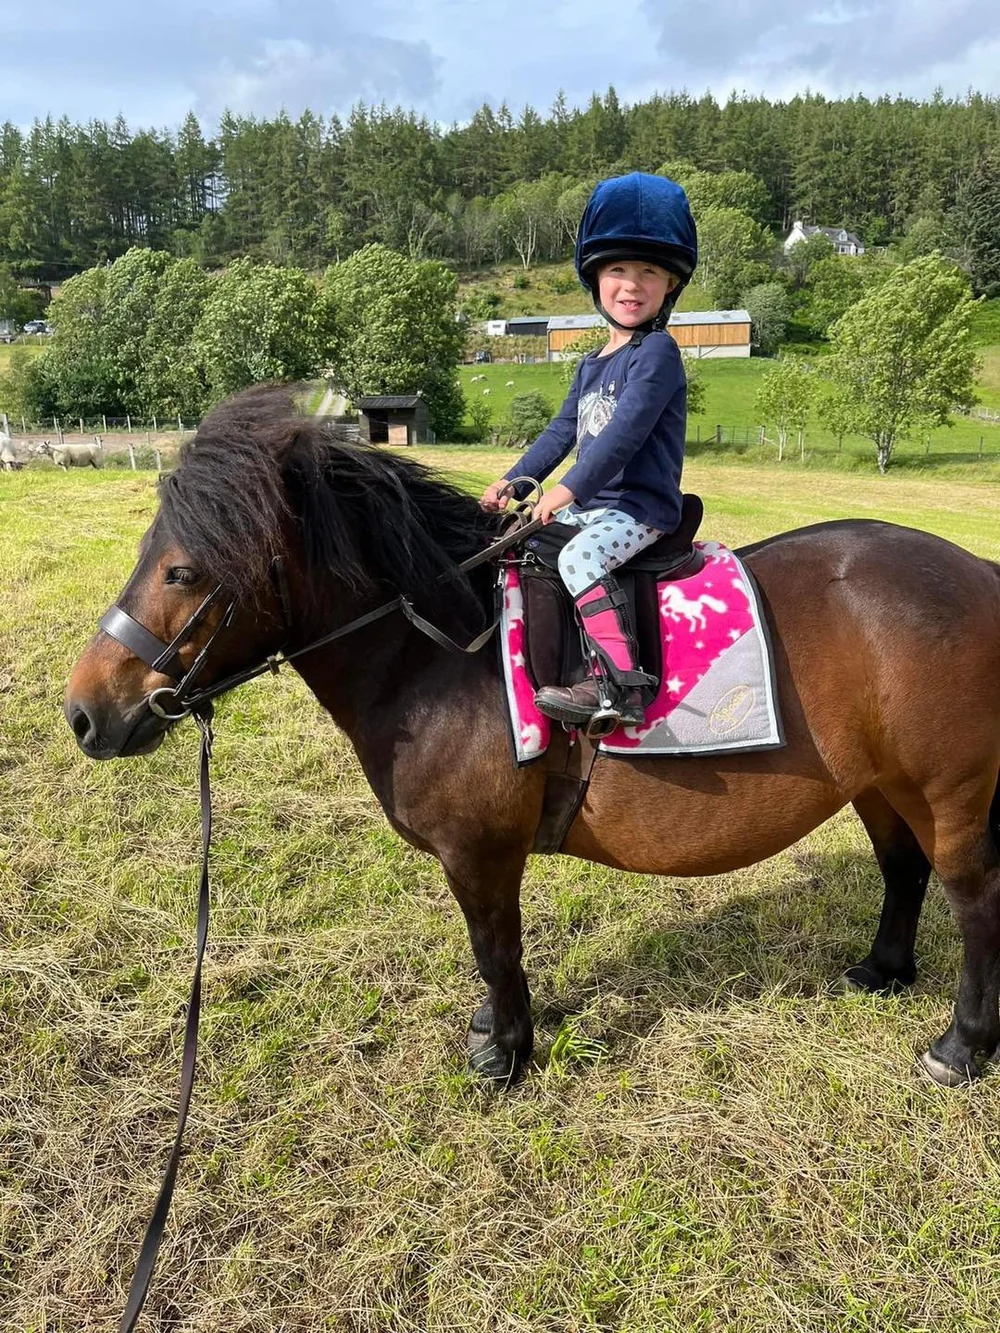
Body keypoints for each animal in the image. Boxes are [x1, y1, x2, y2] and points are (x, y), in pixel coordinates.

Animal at [65, 386, 1000, 1088]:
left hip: (948, 792)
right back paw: (882, 970)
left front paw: (506, 1052)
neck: (441, 654)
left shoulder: (479, 850)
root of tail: (977, 570)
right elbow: (494, 953)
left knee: (974, 900)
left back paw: (960, 1045)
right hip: (878, 783)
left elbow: (495, 946)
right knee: (903, 868)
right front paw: (497, 1028)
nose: (84, 713)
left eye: (183, 570)